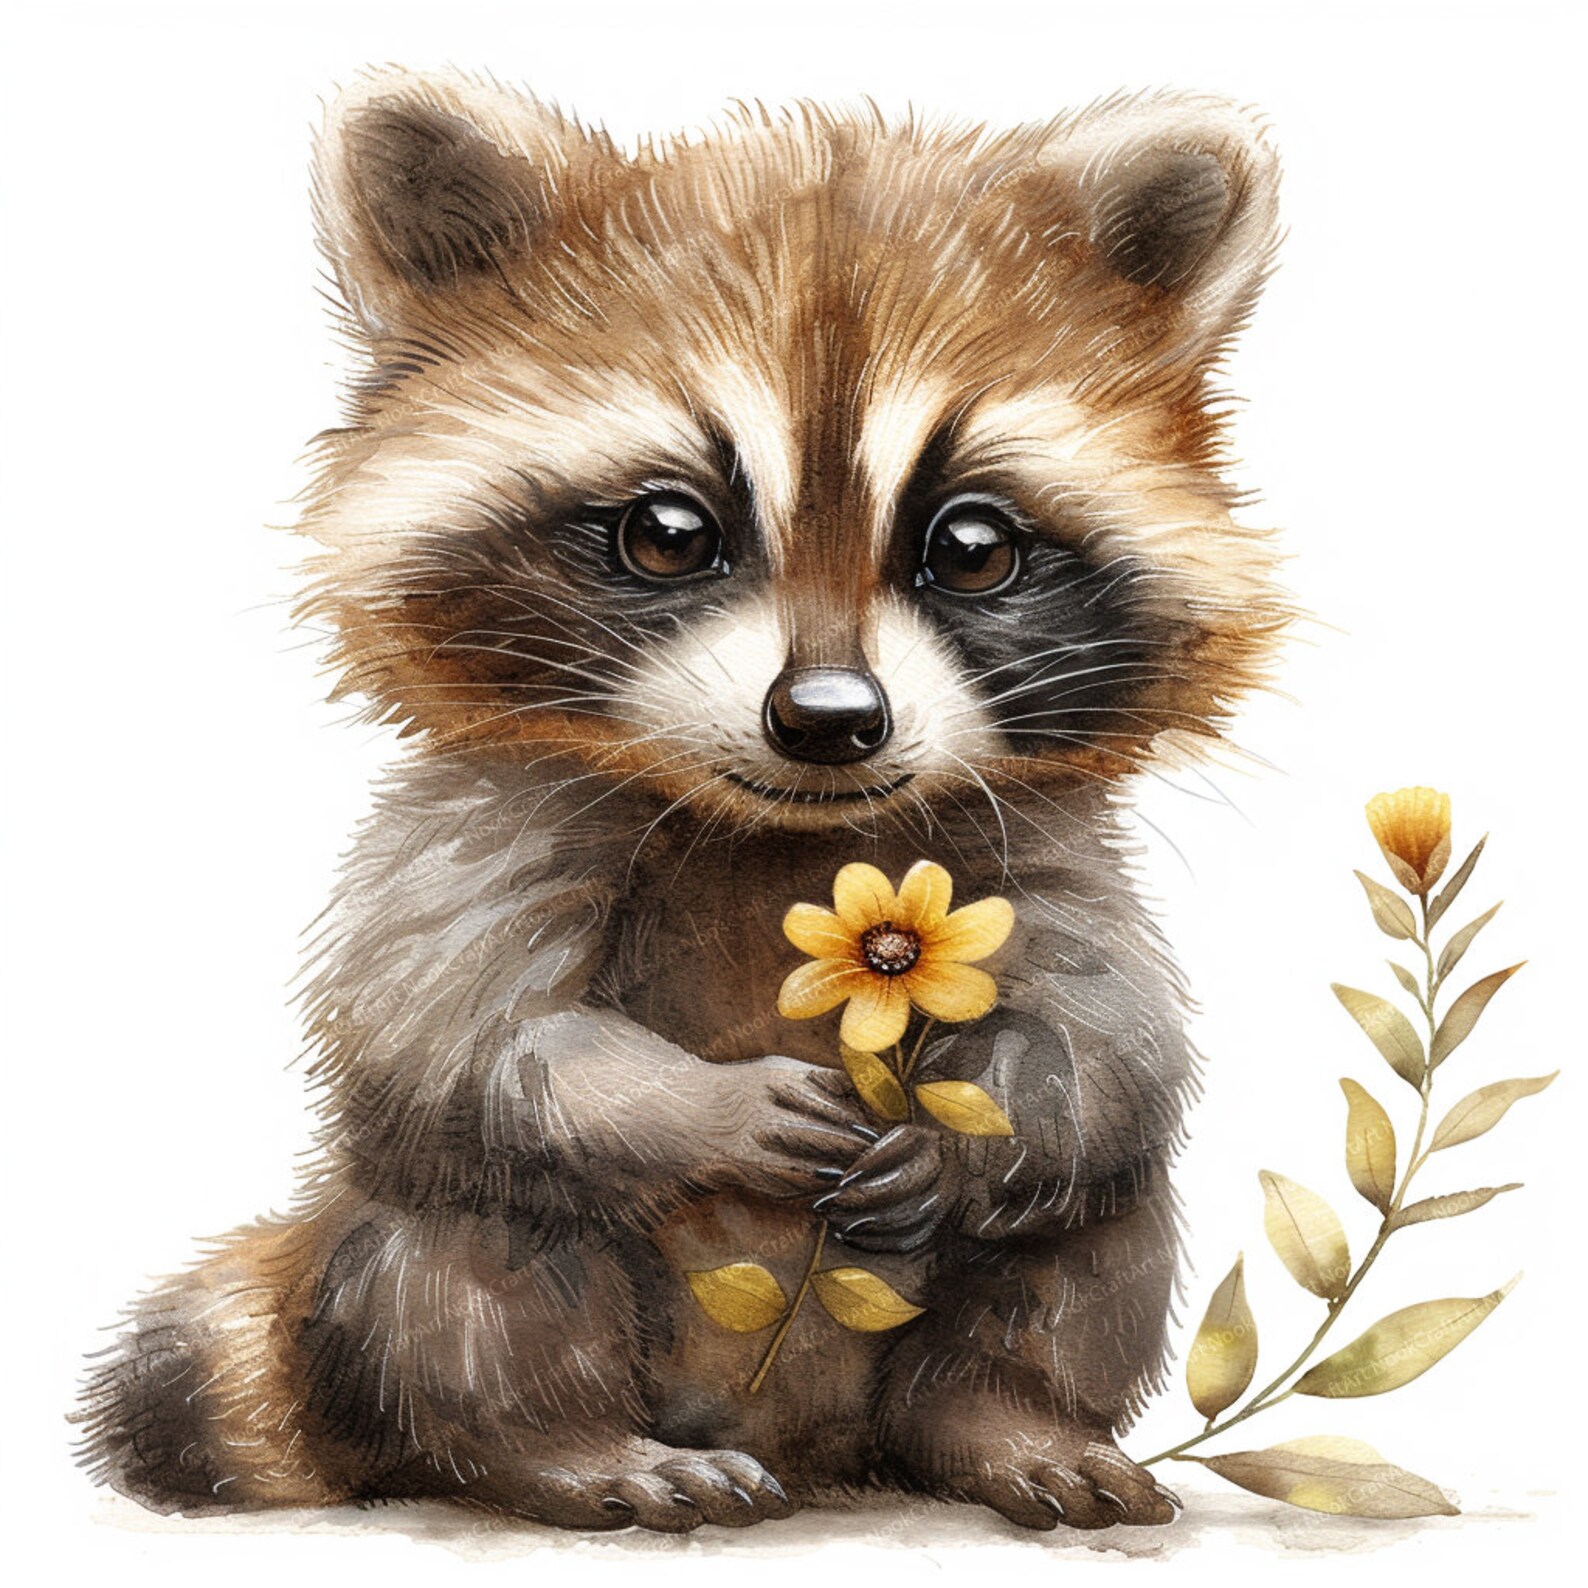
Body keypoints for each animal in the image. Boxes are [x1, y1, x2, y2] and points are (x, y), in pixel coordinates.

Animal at [79, 70, 1284, 1533]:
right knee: (480, 1247)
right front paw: (703, 1107)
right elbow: (455, 1040)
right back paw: (560, 1442)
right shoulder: (488, 817)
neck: (793, 830)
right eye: (667, 533)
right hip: (422, 1281)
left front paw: (960, 1141)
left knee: (1097, 1228)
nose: (828, 720)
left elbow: (1111, 1050)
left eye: (972, 546)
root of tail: (805, 1448)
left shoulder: (1040, 840)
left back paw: (998, 1417)